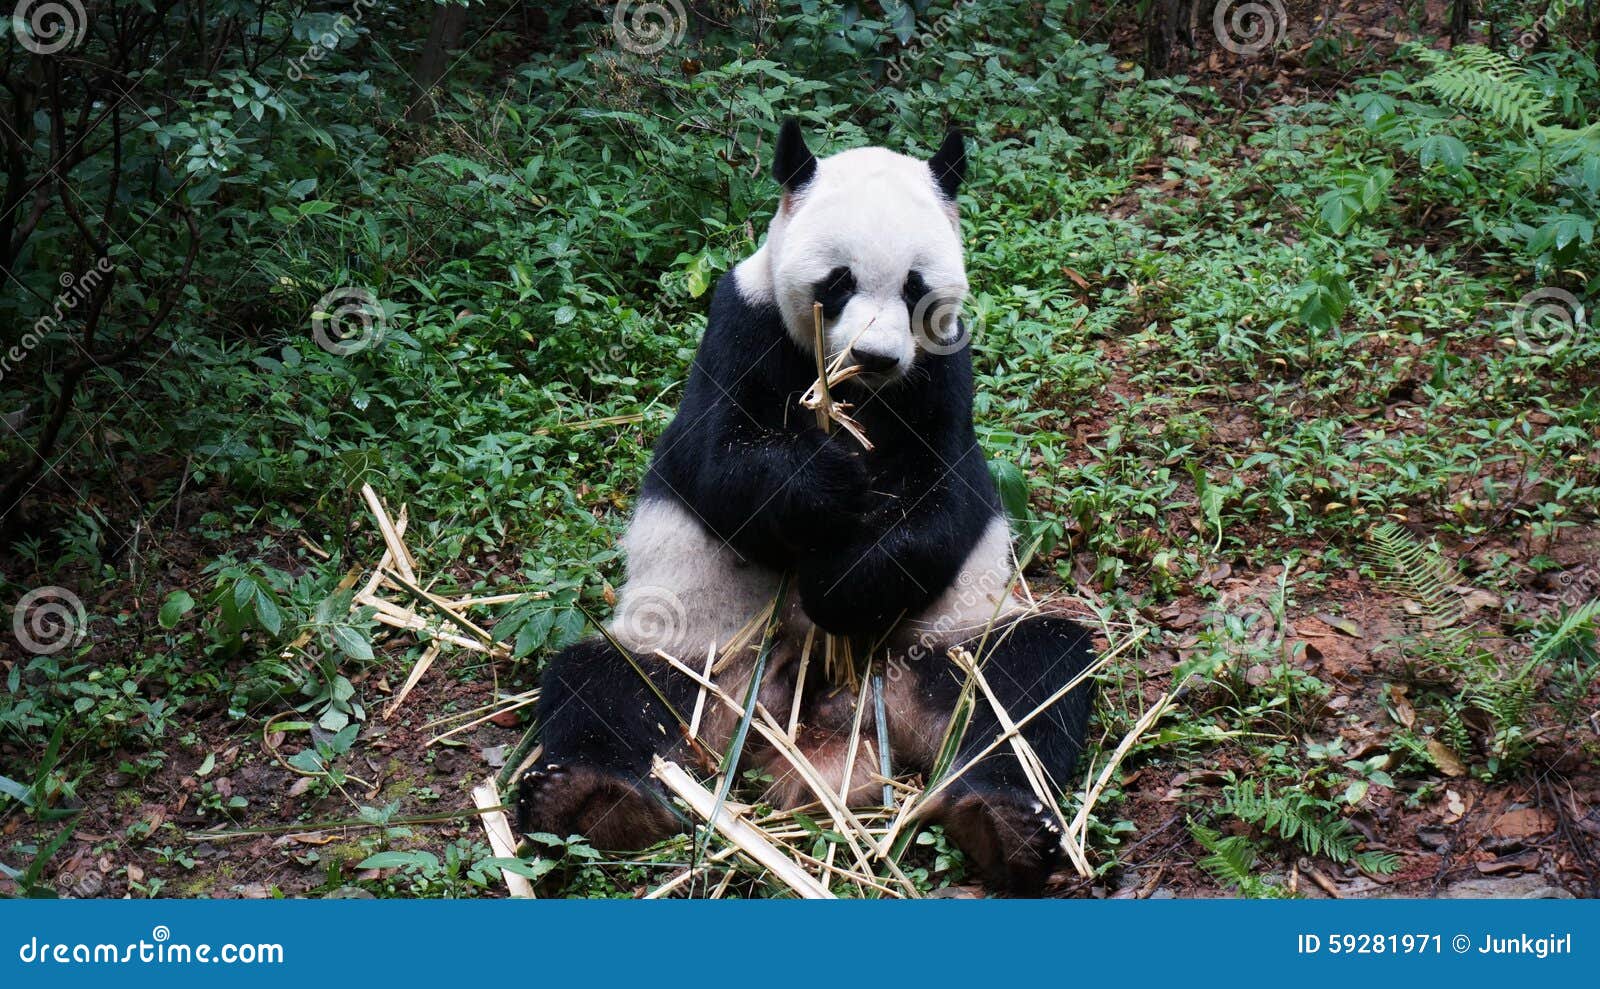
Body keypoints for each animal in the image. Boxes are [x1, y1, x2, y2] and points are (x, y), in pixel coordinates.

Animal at [517, 120, 1099, 896]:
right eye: (838, 282)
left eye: (916, 287)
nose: (877, 357)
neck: (857, 396)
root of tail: (818, 733)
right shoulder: (739, 325)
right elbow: (721, 469)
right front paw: (829, 479)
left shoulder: (946, 366)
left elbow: (946, 497)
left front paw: (839, 588)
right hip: (698, 662)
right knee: (604, 684)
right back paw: (589, 799)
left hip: (940, 651)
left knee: (1030, 678)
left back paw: (1005, 820)